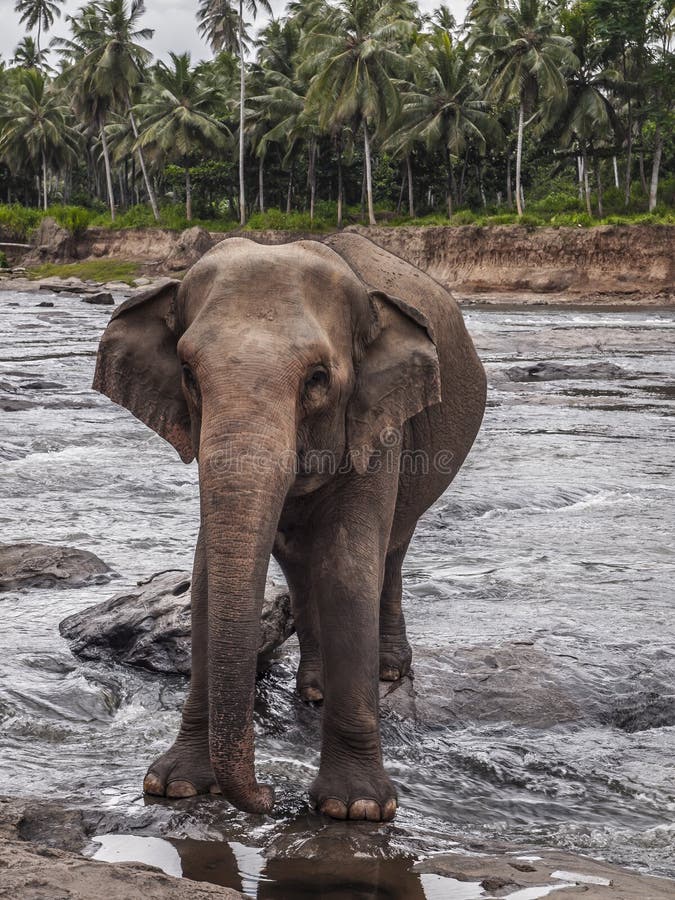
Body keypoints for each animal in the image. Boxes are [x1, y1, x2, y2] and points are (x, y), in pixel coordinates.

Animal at [93, 233, 486, 822]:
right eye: (188, 373)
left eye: (318, 378)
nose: (270, 796)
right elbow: (206, 575)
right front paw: (177, 786)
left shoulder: (376, 428)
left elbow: (348, 566)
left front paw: (356, 808)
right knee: (300, 567)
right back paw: (316, 689)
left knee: (392, 549)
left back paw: (390, 671)